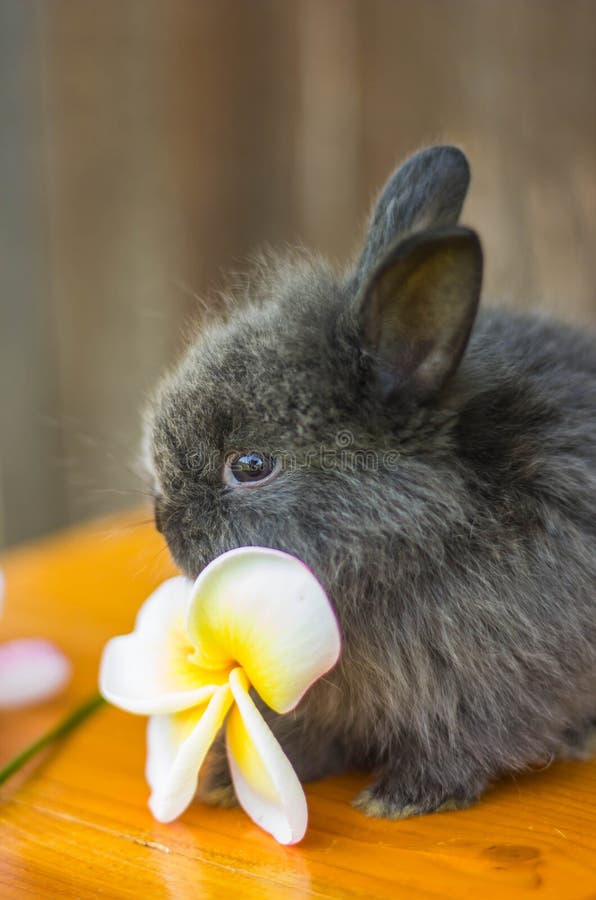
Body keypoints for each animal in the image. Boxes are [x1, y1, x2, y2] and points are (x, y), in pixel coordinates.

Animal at [144, 145, 596, 819]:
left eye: (250, 466)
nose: (162, 521)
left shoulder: (481, 695)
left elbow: (458, 749)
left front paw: (399, 799)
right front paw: (228, 785)